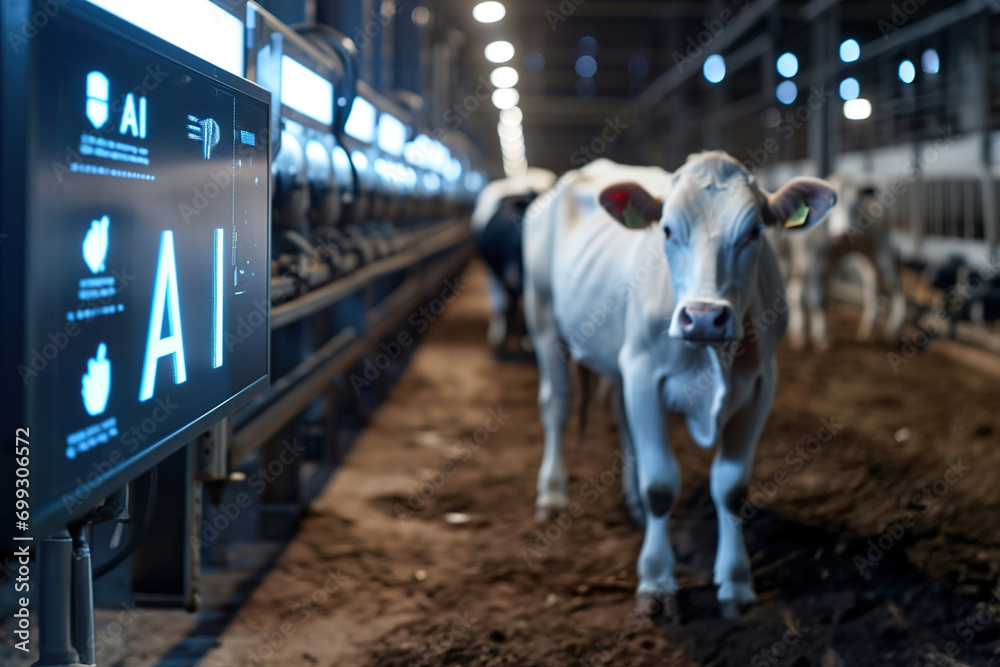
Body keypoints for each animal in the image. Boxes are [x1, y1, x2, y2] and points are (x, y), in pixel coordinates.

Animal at [522, 153, 837, 619]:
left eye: (754, 231)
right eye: (667, 230)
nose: (704, 316)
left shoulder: (762, 382)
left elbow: (731, 487)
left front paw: (736, 582)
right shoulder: (643, 372)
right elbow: (660, 485)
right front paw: (655, 581)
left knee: (622, 420)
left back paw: (629, 501)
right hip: (543, 316)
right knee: (556, 404)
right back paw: (551, 493)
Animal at [768, 176, 906, 350]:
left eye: (855, 203)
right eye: (831, 204)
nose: (843, 234)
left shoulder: (882, 249)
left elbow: (894, 286)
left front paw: (894, 329)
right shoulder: (814, 260)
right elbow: (817, 297)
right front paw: (822, 338)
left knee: (875, 285)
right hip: (790, 261)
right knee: (794, 292)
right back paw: (798, 336)